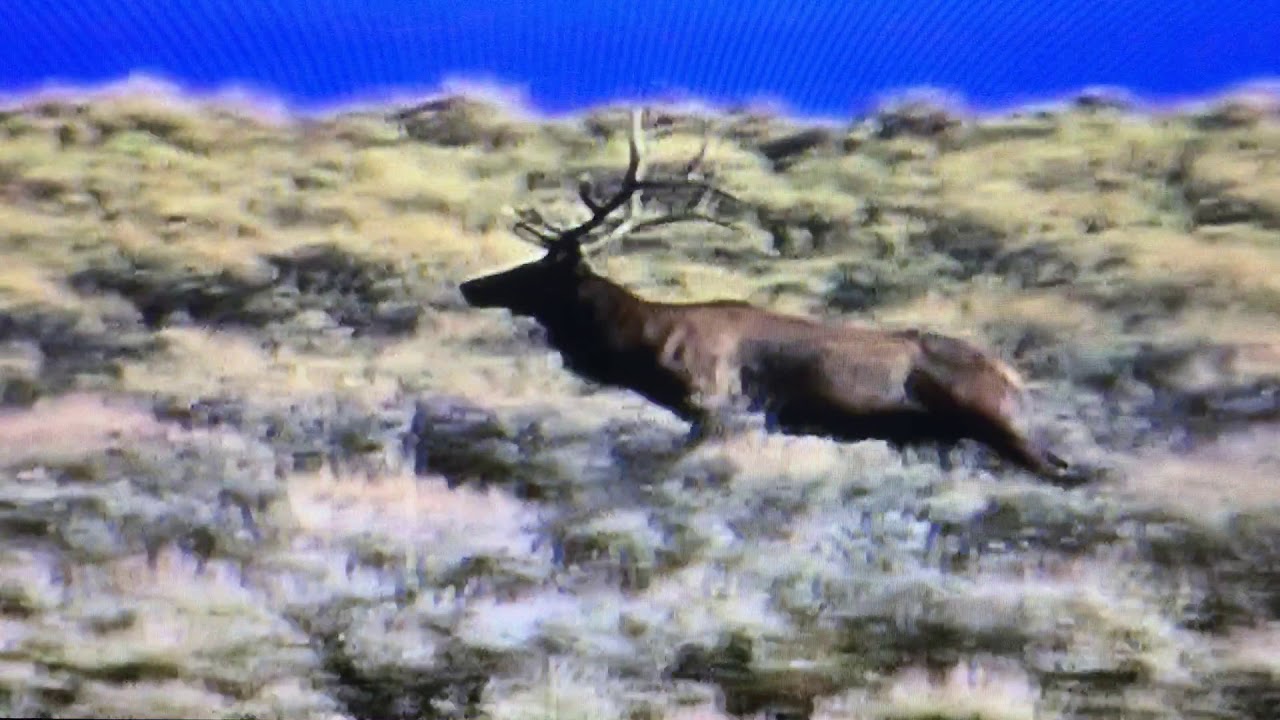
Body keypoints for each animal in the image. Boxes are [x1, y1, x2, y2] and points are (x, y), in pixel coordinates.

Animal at [458, 108, 1090, 486]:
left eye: (537, 267)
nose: (470, 285)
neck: (644, 344)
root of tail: (1015, 378)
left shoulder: (718, 401)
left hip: (993, 416)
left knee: (1060, 468)